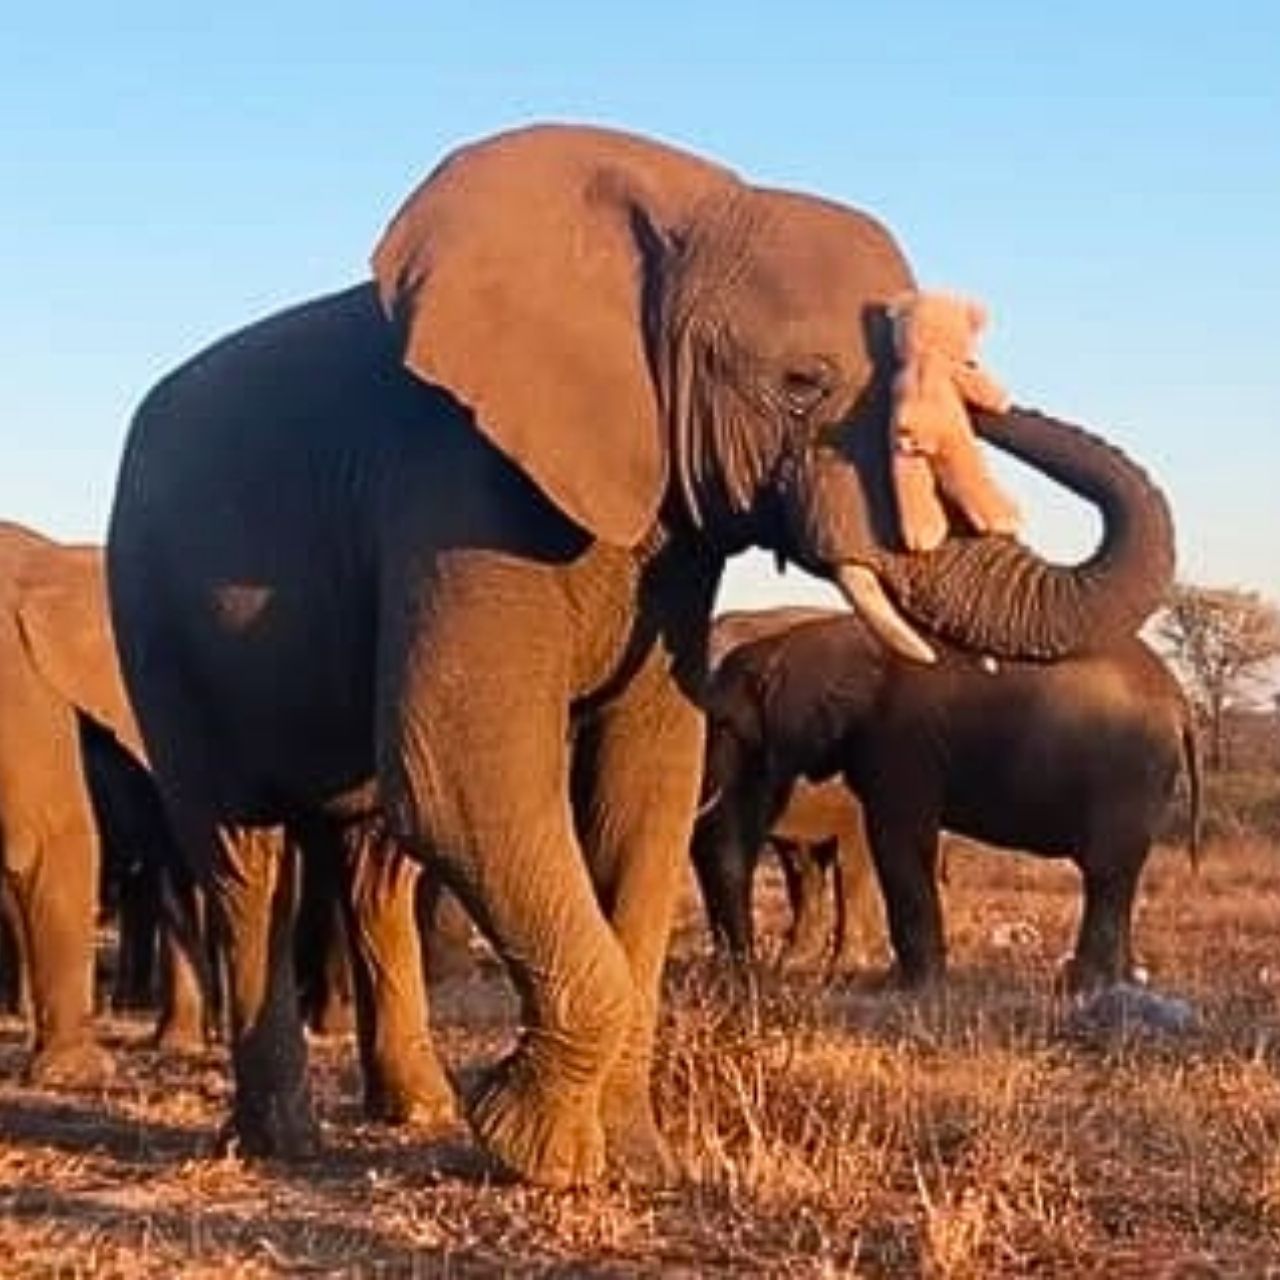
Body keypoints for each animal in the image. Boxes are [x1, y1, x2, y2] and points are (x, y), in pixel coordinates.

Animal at [691, 608, 1201, 991]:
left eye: (726, 723)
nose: (745, 972)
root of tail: (1183, 704)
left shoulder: (901, 738)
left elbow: (896, 838)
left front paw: (901, 988)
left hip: (1129, 771)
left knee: (1105, 871)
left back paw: (1080, 987)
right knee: (1117, 875)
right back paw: (1118, 984)